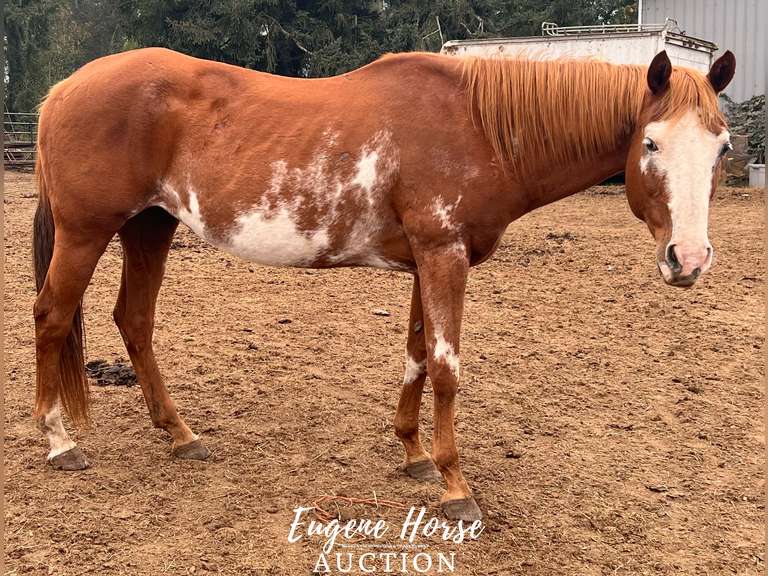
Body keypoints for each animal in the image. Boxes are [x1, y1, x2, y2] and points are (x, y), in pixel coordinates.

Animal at [32, 47, 735, 521]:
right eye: (650, 143)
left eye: (722, 148)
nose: (689, 258)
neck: (477, 127)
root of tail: (62, 88)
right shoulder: (444, 255)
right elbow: (447, 368)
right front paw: (456, 487)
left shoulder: (429, 260)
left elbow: (417, 355)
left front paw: (414, 455)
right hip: (86, 232)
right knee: (52, 317)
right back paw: (60, 442)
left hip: (149, 228)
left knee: (135, 321)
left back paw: (181, 435)